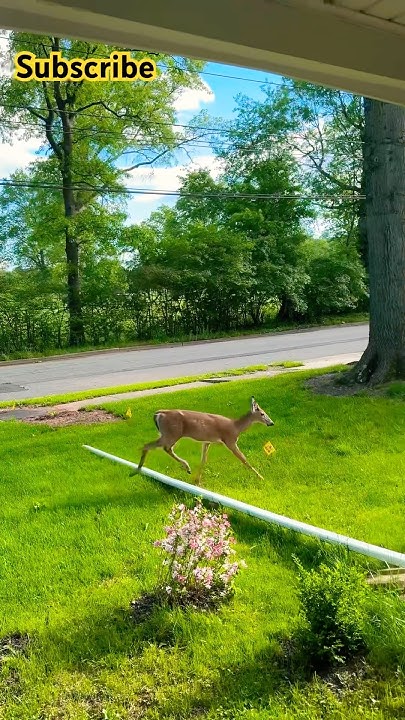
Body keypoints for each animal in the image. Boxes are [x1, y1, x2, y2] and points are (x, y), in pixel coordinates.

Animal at [130, 396, 274, 485]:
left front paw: (197, 481)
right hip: (172, 433)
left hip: (167, 433)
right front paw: (261, 477)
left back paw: (137, 470)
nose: (271, 423)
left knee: (149, 445)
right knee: (162, 447)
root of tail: (158, 414)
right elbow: (244, 459)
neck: (236, 426)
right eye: (262, 413)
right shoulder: (230, 440)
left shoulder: (207, 441)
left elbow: (203, 460)